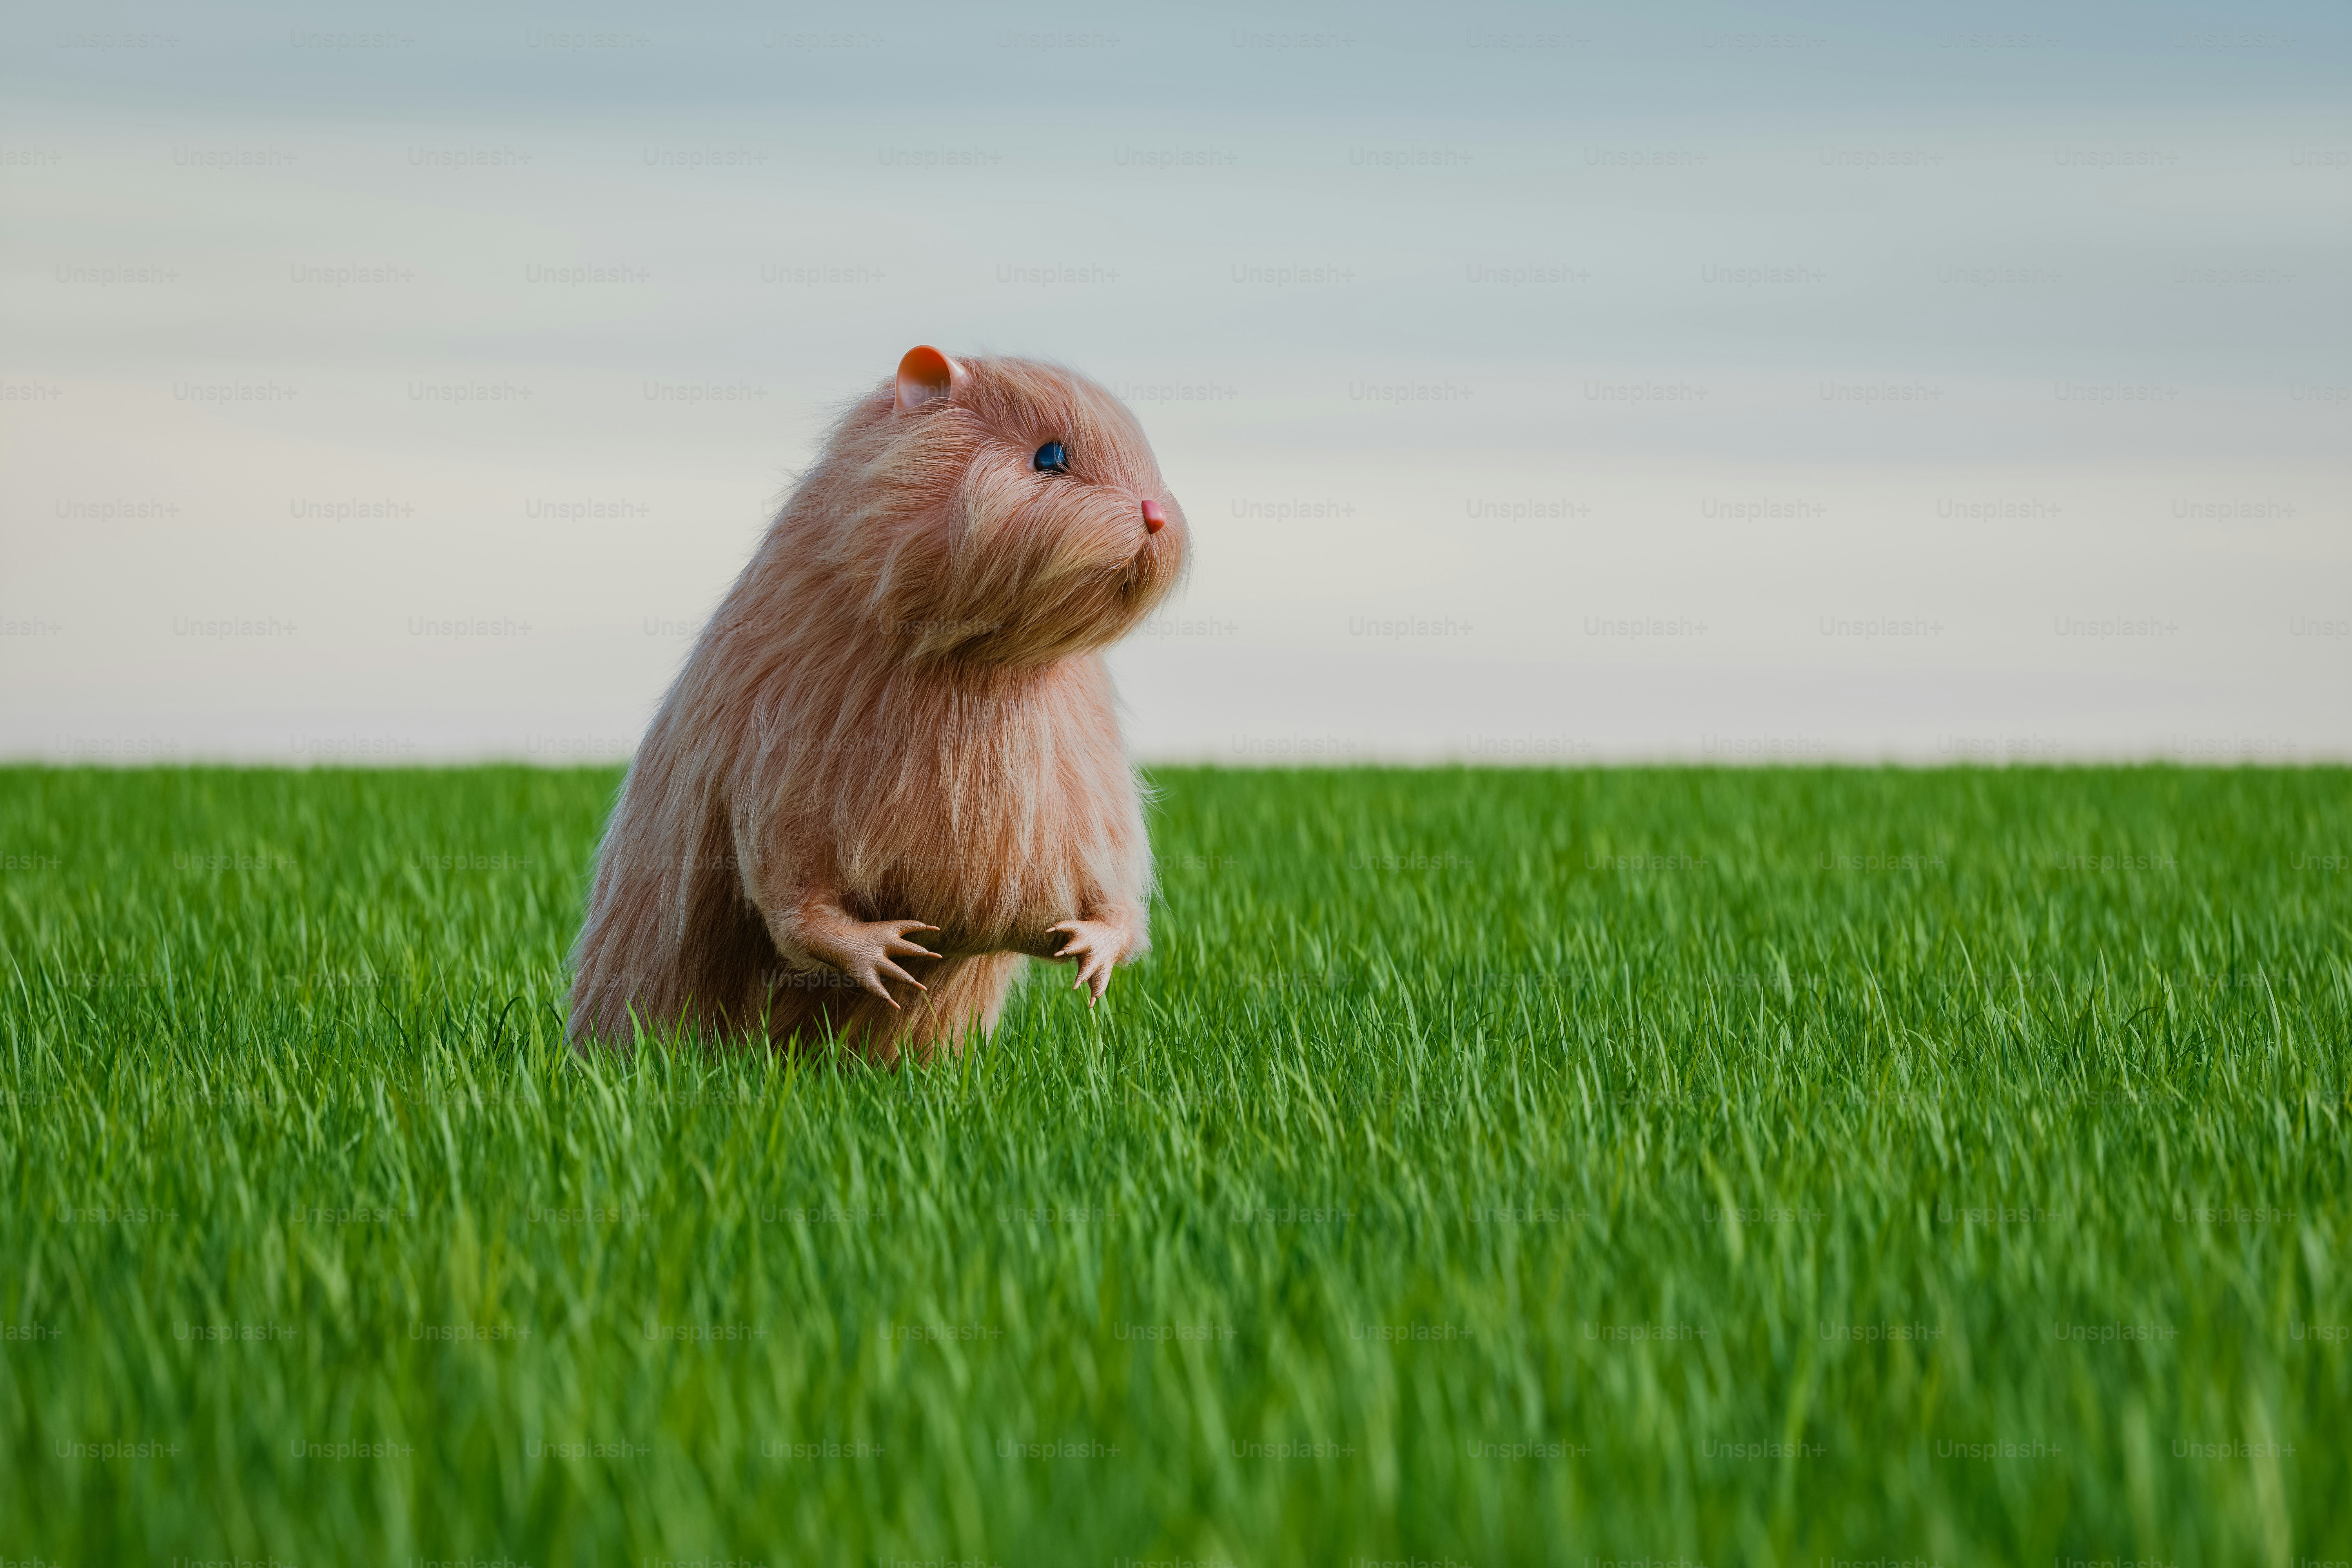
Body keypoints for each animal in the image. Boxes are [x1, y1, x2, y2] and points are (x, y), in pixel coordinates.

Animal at [567, 346, 1189, 1060]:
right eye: (1050, 456)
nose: (1155, 513)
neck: (976, 663)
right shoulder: (773, 771)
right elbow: (796, 911)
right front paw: (890, 953)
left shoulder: (1096, 796)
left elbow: (1120, 908)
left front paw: (1087, 957)